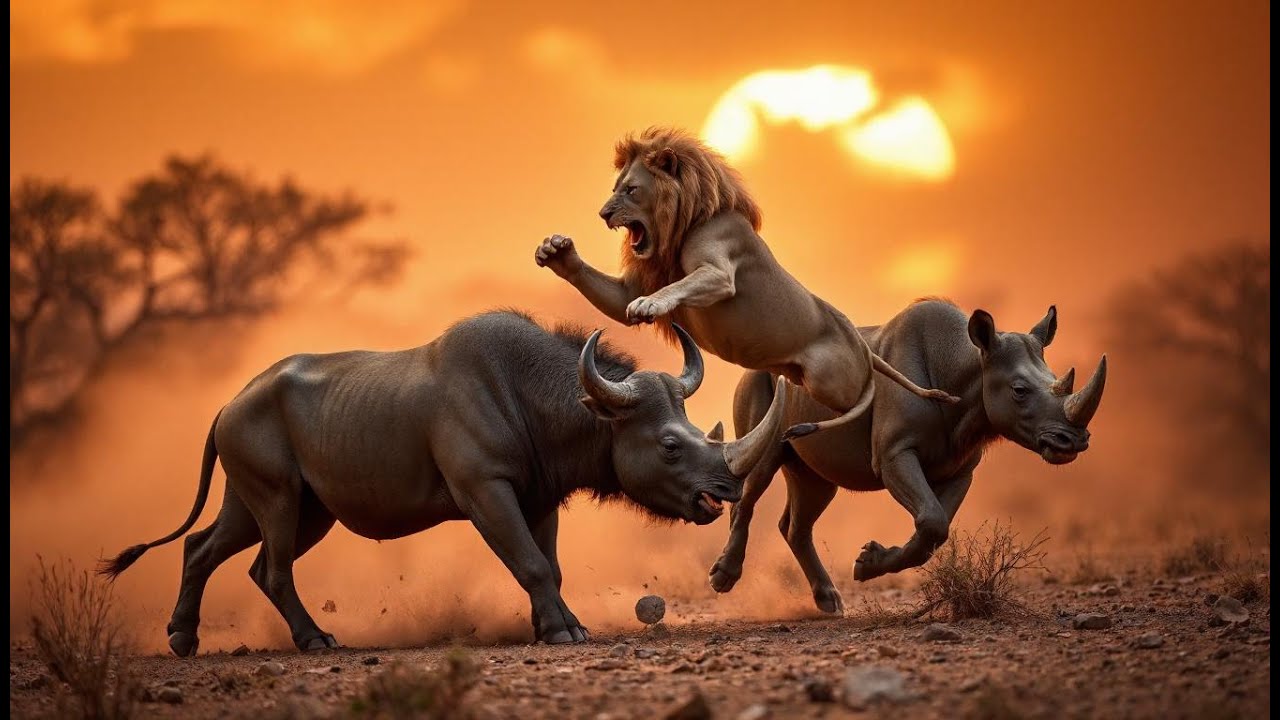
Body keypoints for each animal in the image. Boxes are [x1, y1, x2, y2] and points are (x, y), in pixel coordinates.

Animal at [535, 126, 958, 438]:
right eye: (614, 189)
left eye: (630, 190)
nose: (603, 213)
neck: (683, 221)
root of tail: (859, 342)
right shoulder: (631, 285)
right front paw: (556, 252)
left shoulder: (720, 273)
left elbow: (675, 287)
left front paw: (651, 304)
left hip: (828, 378)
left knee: (859, 399)